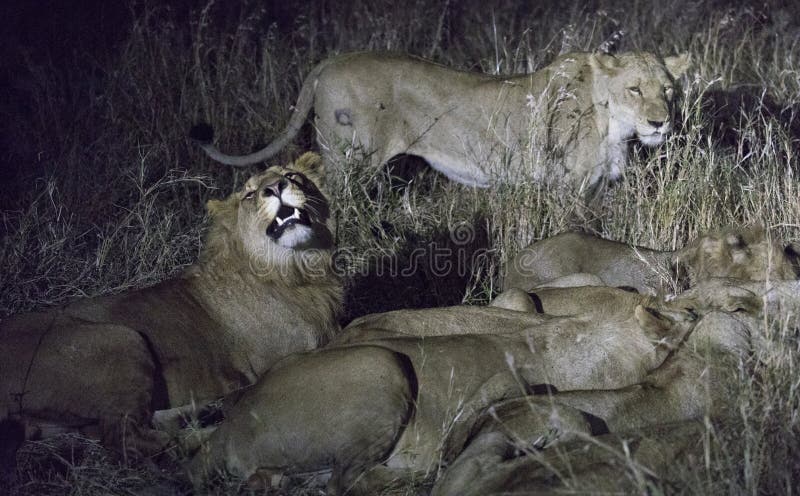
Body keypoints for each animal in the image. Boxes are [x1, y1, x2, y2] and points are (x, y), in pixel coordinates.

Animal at [0, 153, 342, 471]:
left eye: (293, 176)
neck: (298, 270)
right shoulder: (290, 356)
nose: (276, 187)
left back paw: (210, 409)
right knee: (128, 440)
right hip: (119, 339)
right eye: (249, 195)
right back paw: (216, 430)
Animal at [191, 50, 689, 193]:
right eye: (634, 89)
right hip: (350, 161)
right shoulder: (567, 187)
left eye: (668, 90)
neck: (615, 127)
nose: (660, 123)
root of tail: (330, 61)